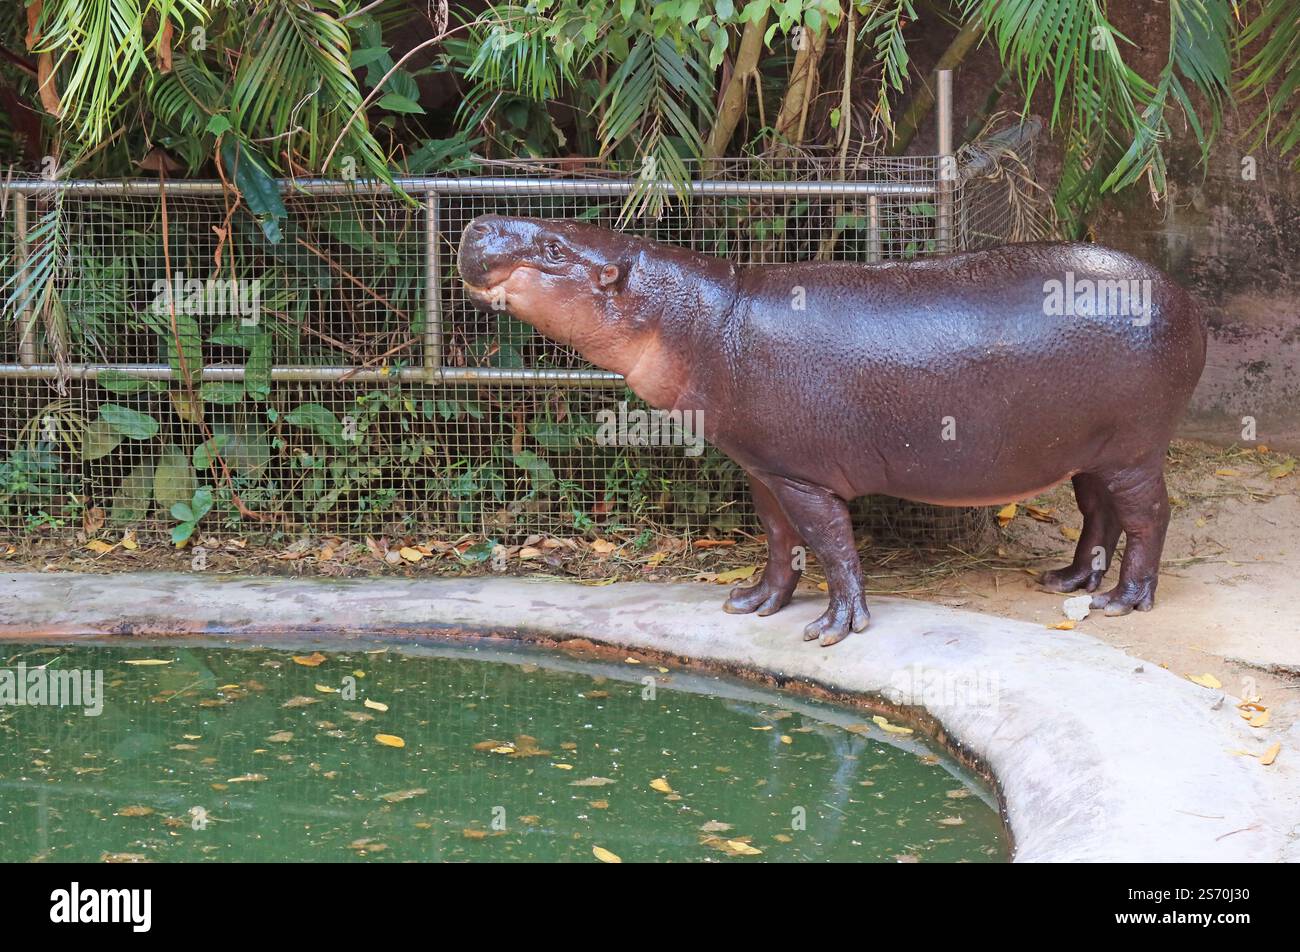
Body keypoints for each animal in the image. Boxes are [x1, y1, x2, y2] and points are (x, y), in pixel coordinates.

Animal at [457, 215, 1206, 645]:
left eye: (554, 246)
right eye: (564, 222)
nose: (478, 223)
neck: (697, 318)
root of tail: (1185, 297)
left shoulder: (804, 475)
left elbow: (828, 541)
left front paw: (834, 628)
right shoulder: (763, 467)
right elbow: (776, 538)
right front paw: (753, 603)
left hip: (1136, 448)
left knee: (1151, 516)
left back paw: (1121, 602)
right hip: (1091, 450)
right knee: (1099, 514)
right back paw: (1066, 582)